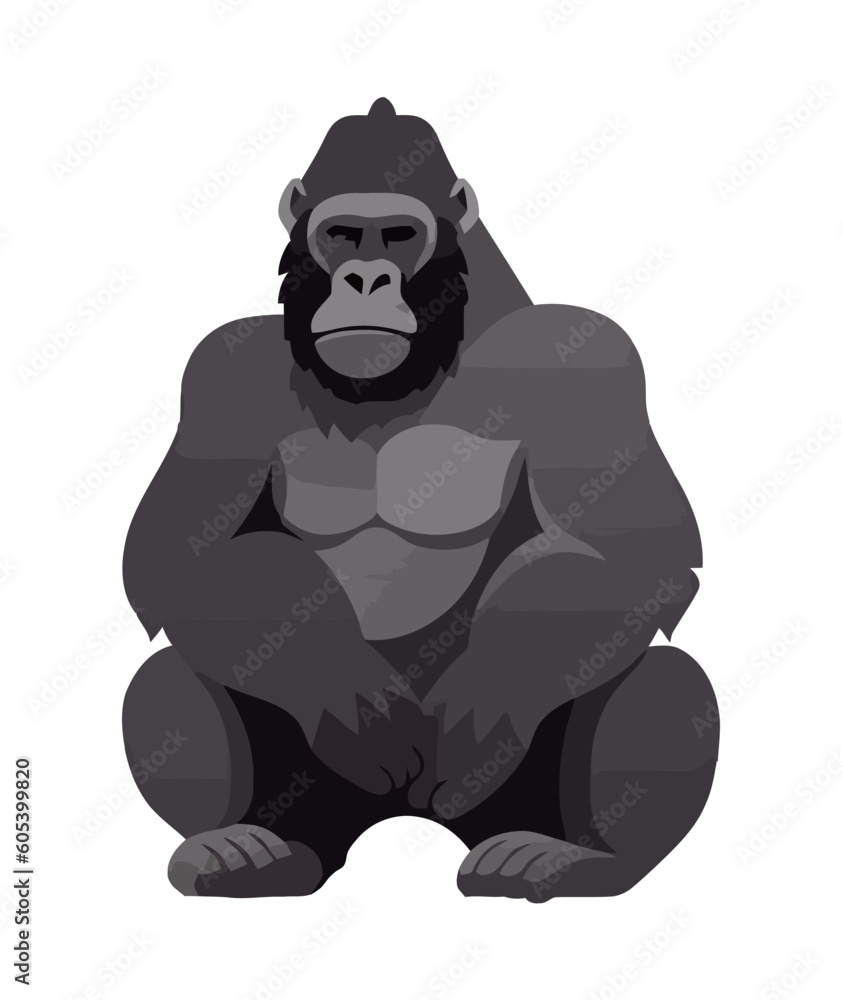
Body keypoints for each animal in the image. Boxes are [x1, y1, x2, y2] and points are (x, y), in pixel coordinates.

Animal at [122, 98, 718, 901]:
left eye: (400, 237)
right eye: (343, 235)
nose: (366, 279)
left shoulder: (586, 353)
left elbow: (638, 556)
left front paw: (497, 686)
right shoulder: (220, 372)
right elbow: (173, 559)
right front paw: (332, 678)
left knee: (661, 669)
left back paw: (581, 859)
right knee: (171, 666)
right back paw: (245, 848)